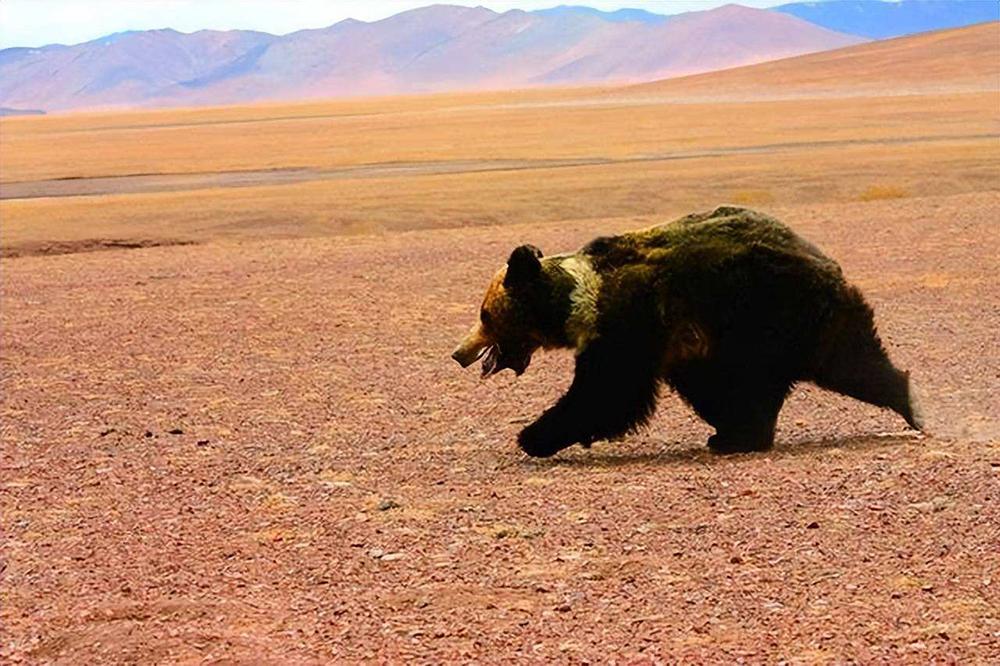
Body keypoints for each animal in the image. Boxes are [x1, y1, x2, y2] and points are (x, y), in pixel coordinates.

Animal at [452, 206, 923, 458]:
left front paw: (534, 436)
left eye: (485, 315)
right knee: (846, 361)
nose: (459, 352)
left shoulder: (628, 321)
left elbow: (608, 391)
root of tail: (826, 263)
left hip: (776, 313)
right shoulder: (684, 343)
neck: (573, 302)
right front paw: (726, 427)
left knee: (841, 365)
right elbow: (704, 386)